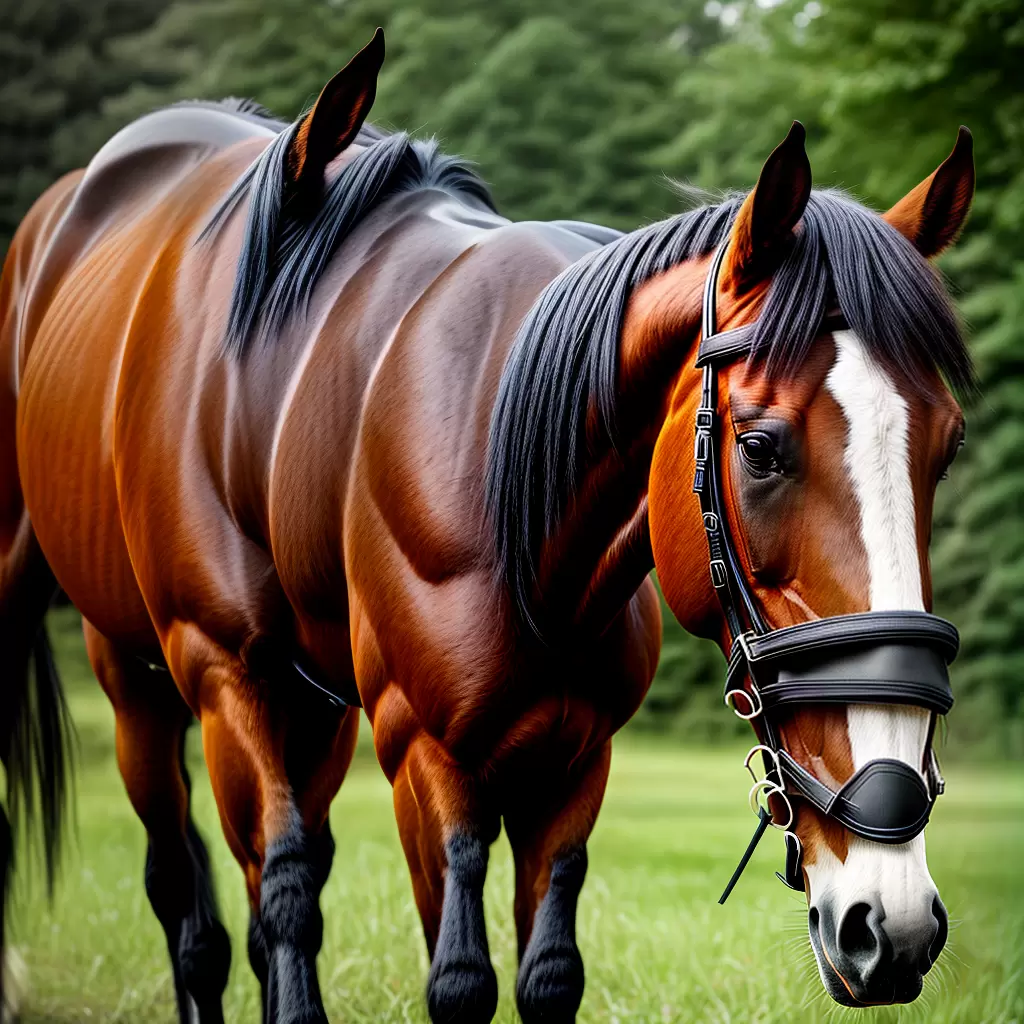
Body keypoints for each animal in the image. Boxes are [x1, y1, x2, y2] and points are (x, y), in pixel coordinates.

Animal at [0, 27, 976, 1023]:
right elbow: (442, 969)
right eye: (761, 447)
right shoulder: (414, 748)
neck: (513, 494)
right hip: (158, 670)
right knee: (204, 884)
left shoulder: (575, 761)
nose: (891, 922)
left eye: (947, 446)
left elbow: (548, 973)